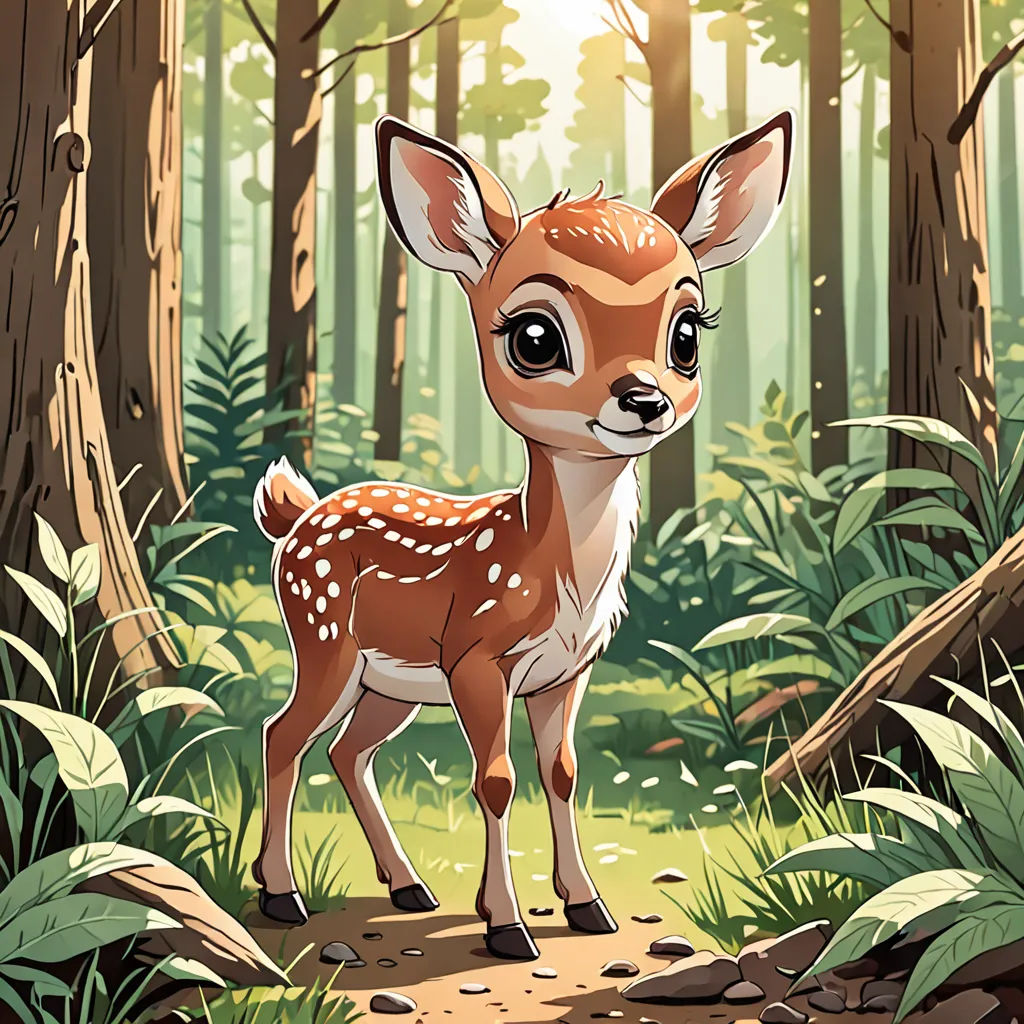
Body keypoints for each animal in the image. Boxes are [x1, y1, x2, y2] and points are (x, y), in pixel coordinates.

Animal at [251, 110, 794, 960]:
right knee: (284, 736)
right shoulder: (478, 656)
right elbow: (497, 778)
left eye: (686, 335)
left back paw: (407, 887)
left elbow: (563, 771)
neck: (557, 579)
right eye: (534, 337)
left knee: (348, 750)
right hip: (324, 637)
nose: (644, 399)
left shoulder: (566, 672)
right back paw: (282, 896)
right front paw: (507, 927)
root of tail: (296, 516)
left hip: (389, 679)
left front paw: (586, 907)